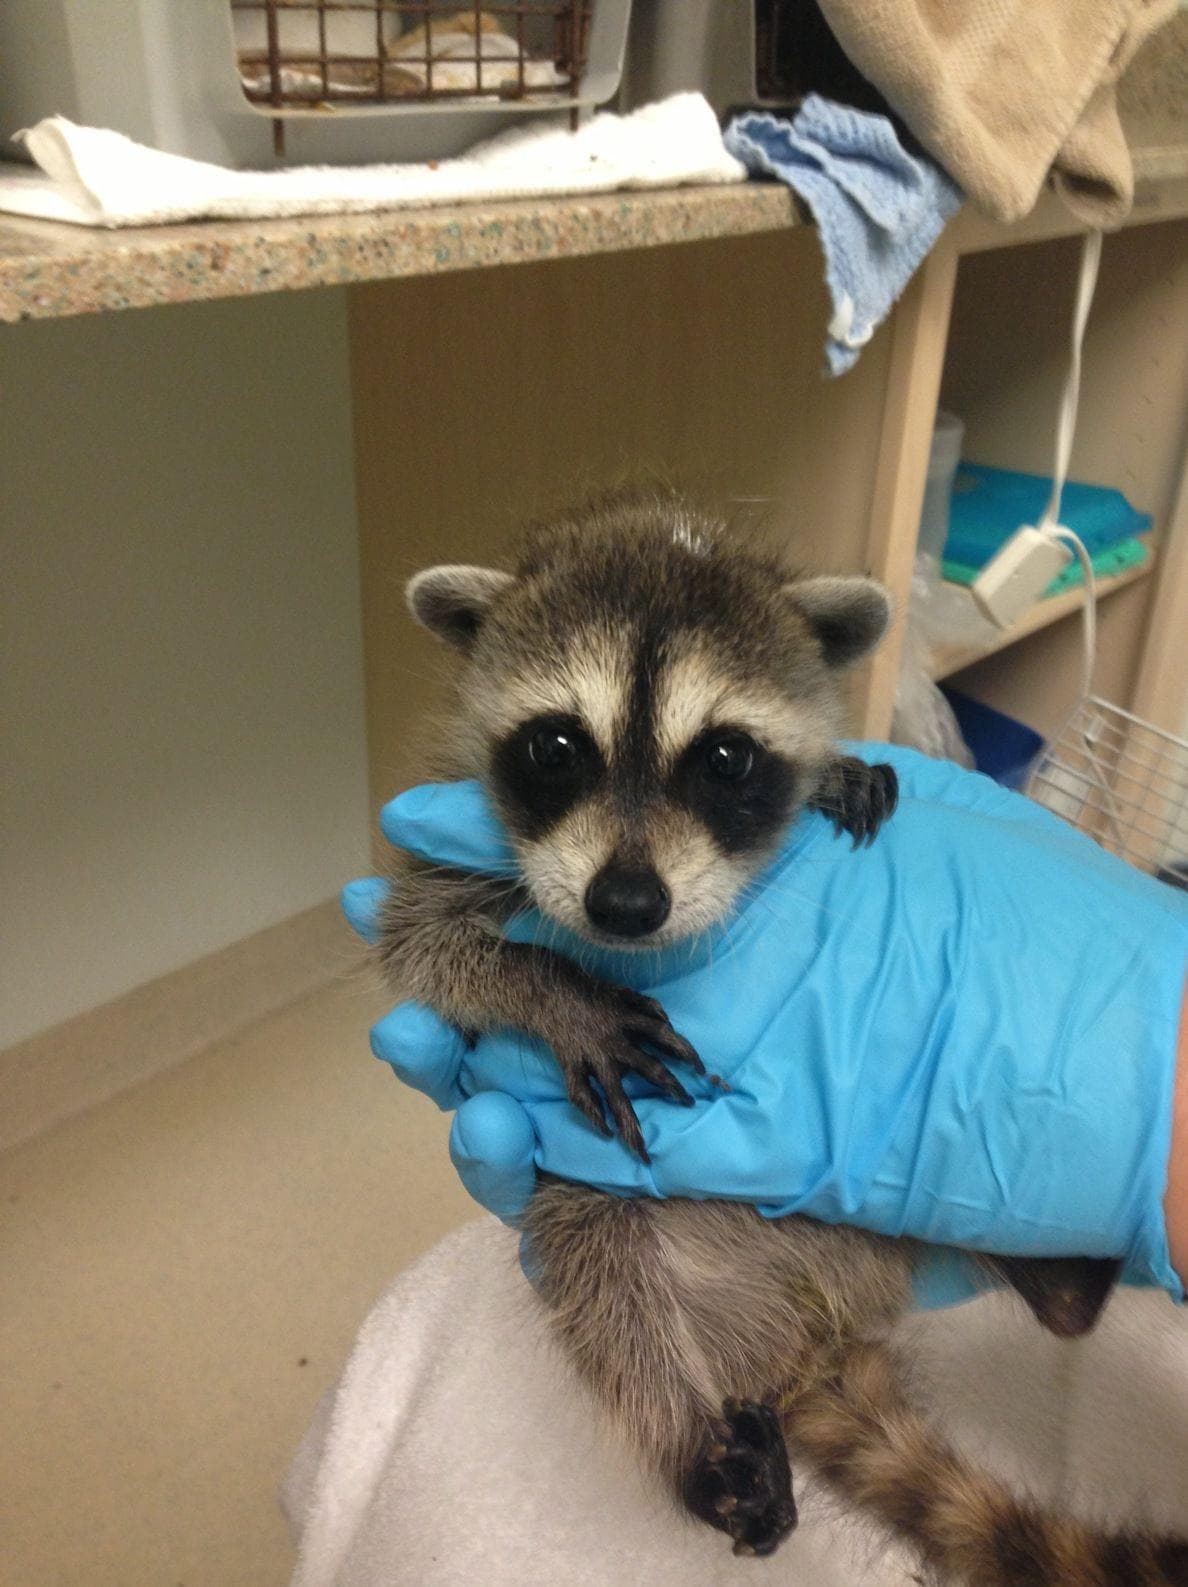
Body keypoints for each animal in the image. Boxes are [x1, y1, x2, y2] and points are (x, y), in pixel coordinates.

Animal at [378, 491, 1181, 1583]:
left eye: (724, 757)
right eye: (557, 747)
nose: (624, 904)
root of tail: (811, 1339)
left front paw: (836, 771)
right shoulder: (446, 849)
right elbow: (425, 950)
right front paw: (551, 991)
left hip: (906, 1202)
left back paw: (1059, 1275)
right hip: (619, 1223)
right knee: (603, 1277)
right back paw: (688, 1437)